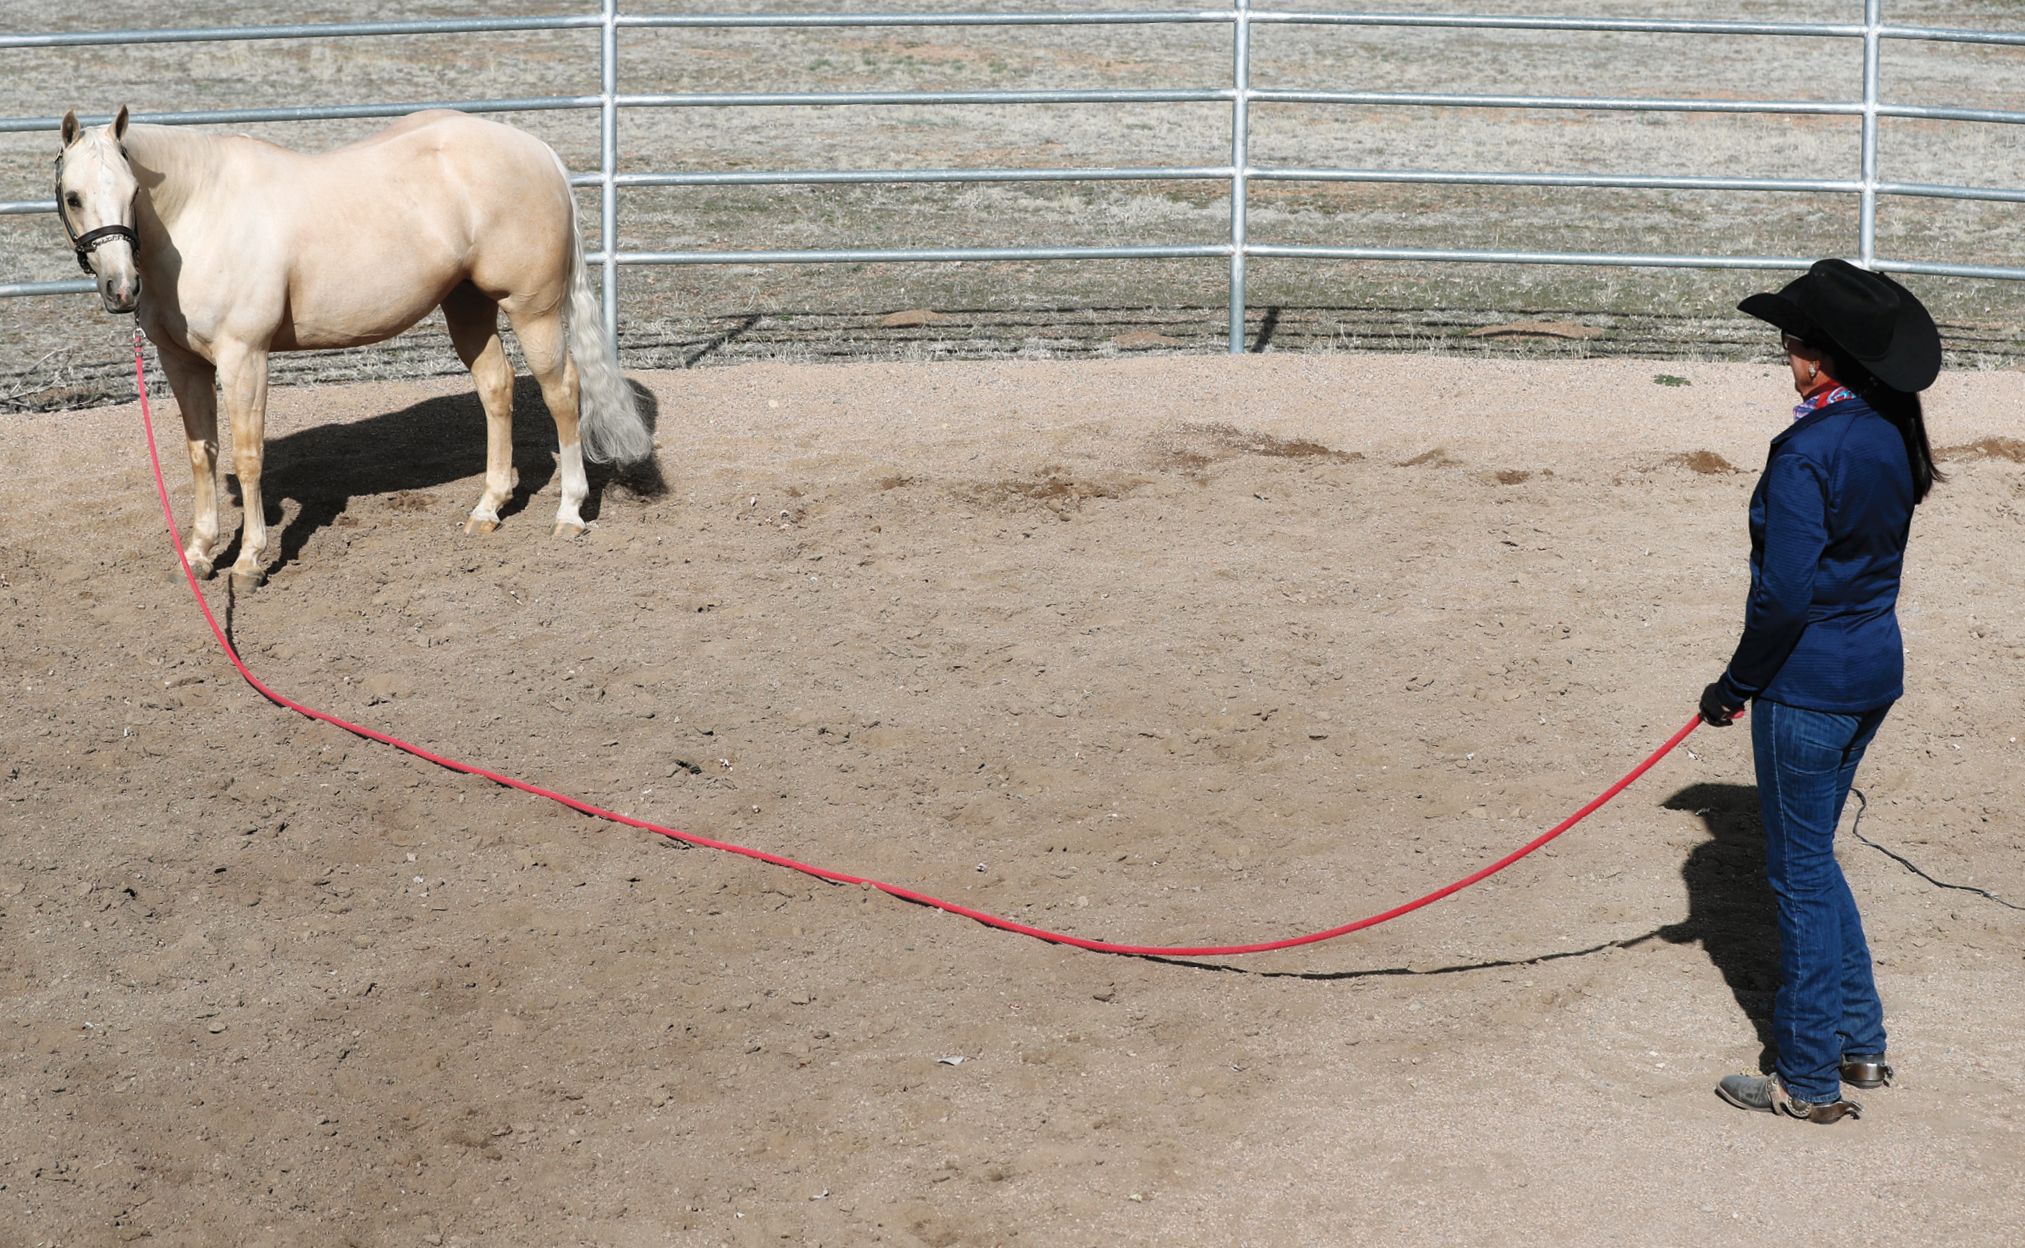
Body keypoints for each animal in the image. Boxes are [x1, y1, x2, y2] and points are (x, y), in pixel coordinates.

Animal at [54, 105, 654, 589]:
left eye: (134, 193)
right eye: (73, 196)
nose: (122, 289)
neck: (200, 214)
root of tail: (538, 151)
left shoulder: (244, 356)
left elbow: (248, 456)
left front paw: (249, 561)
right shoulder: (182, 363)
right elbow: (202, 454)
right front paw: (200, 554)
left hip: (533, 310)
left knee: (562, 393)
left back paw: (570, 514)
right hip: (467, 306)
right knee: (496, 388)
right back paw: (488, 509)